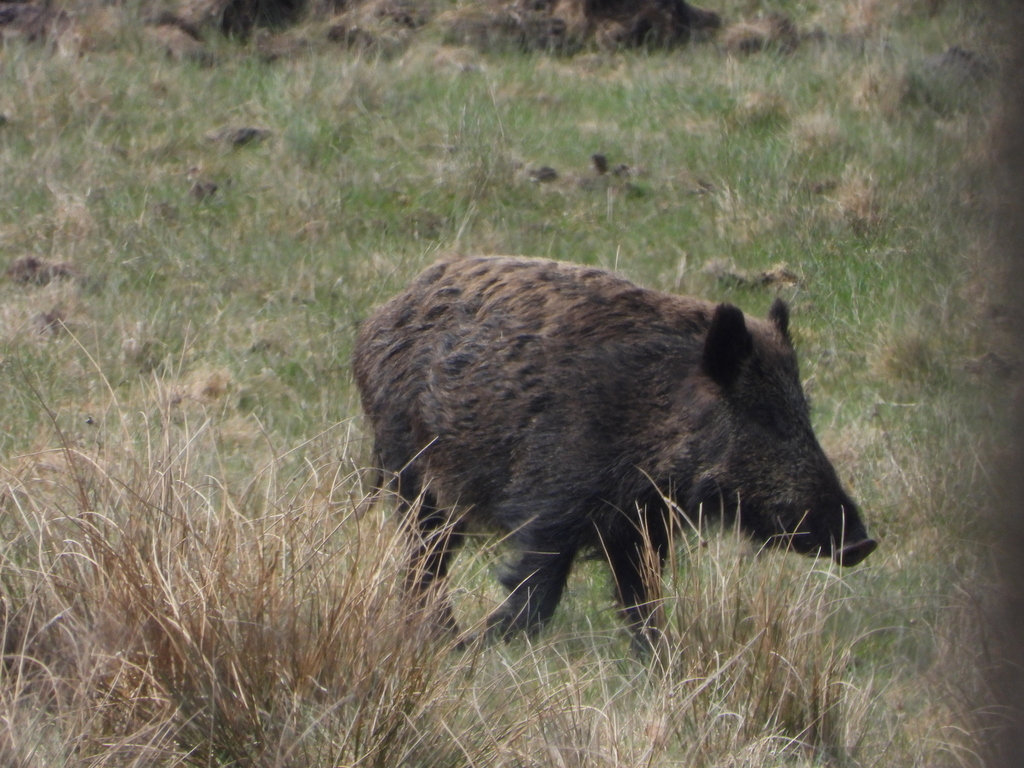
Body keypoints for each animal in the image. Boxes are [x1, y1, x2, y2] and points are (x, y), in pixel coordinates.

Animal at [353, 256, 877, 646]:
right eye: (763, 415)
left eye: (804, 411)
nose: (861, 542)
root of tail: (377, 320)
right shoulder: (552, 503)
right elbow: (537, 593)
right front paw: (484, 646)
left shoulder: (642, 526)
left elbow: (643, 597)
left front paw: (661, 662)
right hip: (411, 472)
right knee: (424, 556)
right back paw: (445, 638)